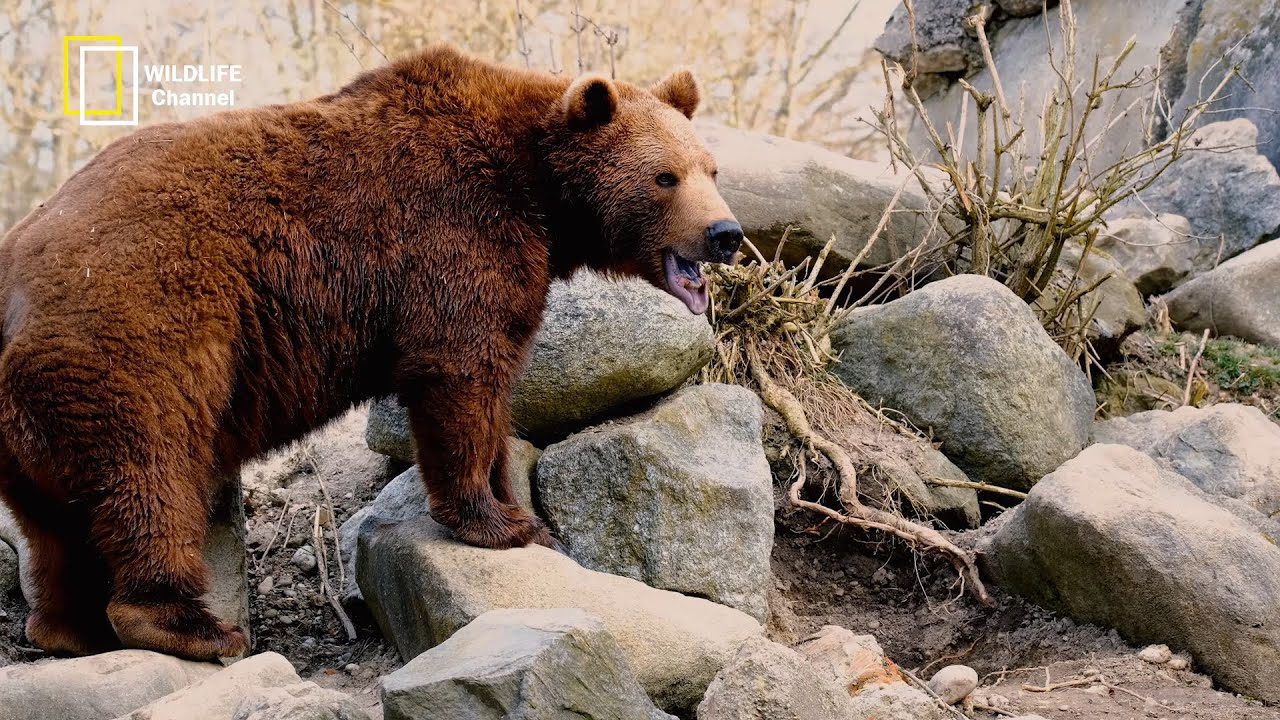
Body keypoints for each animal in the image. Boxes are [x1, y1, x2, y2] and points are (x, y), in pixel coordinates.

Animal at [0, 45, 742, 661]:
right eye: (665, 177)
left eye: (711, 168)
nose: (726, 232)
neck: (538, 190)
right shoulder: (450, 234)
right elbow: (461, 374)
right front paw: (499, 522)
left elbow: (496, 395)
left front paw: (526, 513)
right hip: (131, 339)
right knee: (151, 474)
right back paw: (198, 627)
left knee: (53, 526)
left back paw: (66, 627)